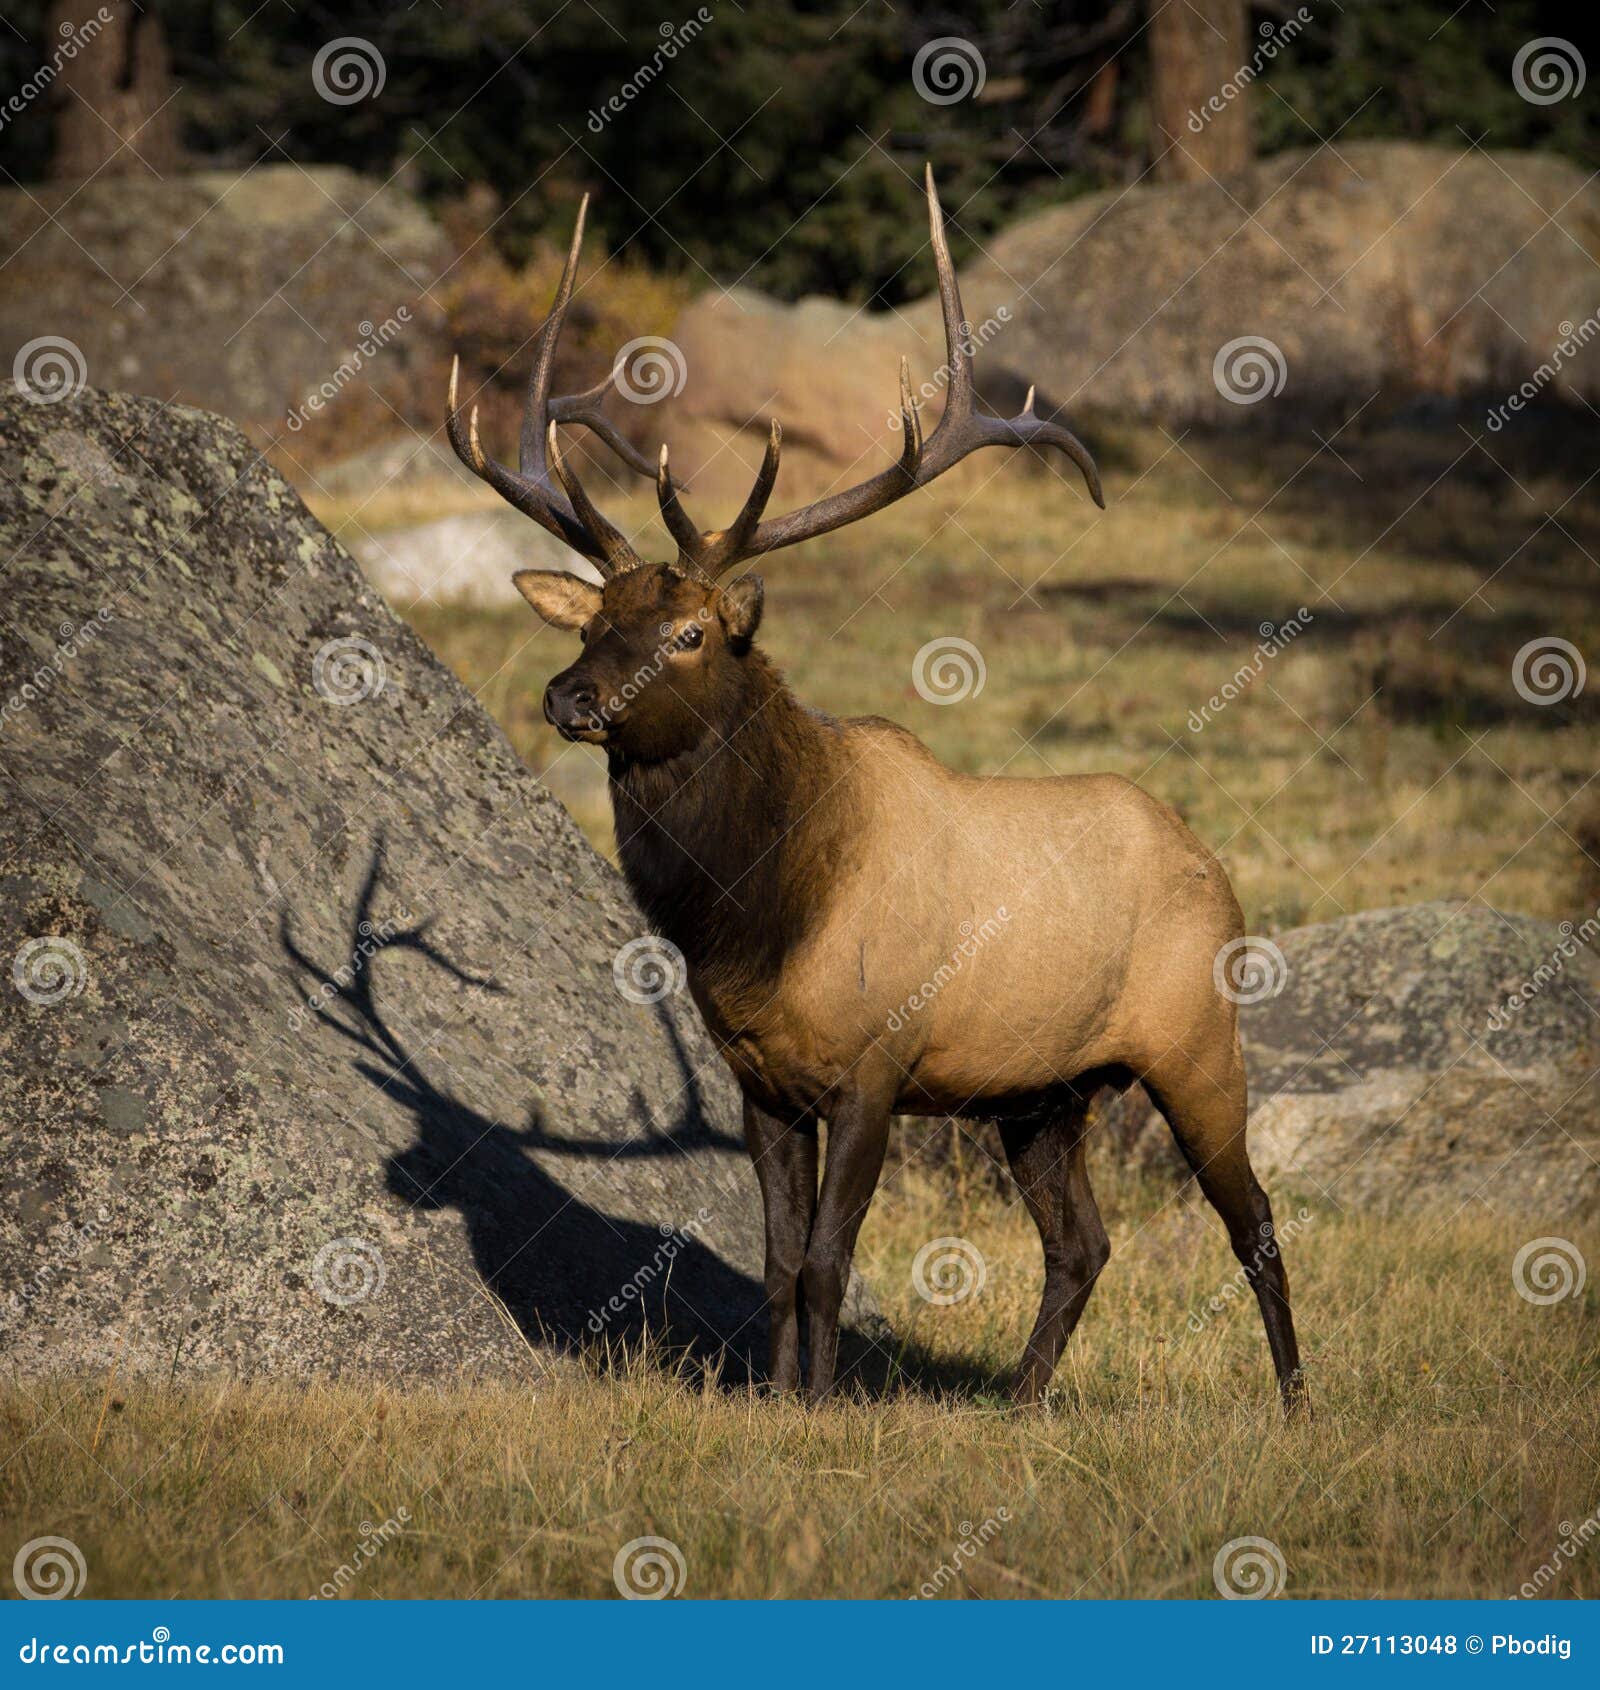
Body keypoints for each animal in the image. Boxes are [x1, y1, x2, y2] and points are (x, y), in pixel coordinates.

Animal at [444, 168, 1306, 1415]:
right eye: (595, 619)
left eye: (690, 633)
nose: (569, 695)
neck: (760, 920)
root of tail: (1212, 861)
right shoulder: (759, 1080)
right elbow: (774, 1258)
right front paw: (774, 1394)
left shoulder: (875, 1062)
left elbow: (826, 1258)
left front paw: (816, 1403)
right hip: (1044, 1092)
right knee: (1082, 1242)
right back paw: (1021, 1399)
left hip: (1195, 1039)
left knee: (1255, 1221)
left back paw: (1294, 1403)